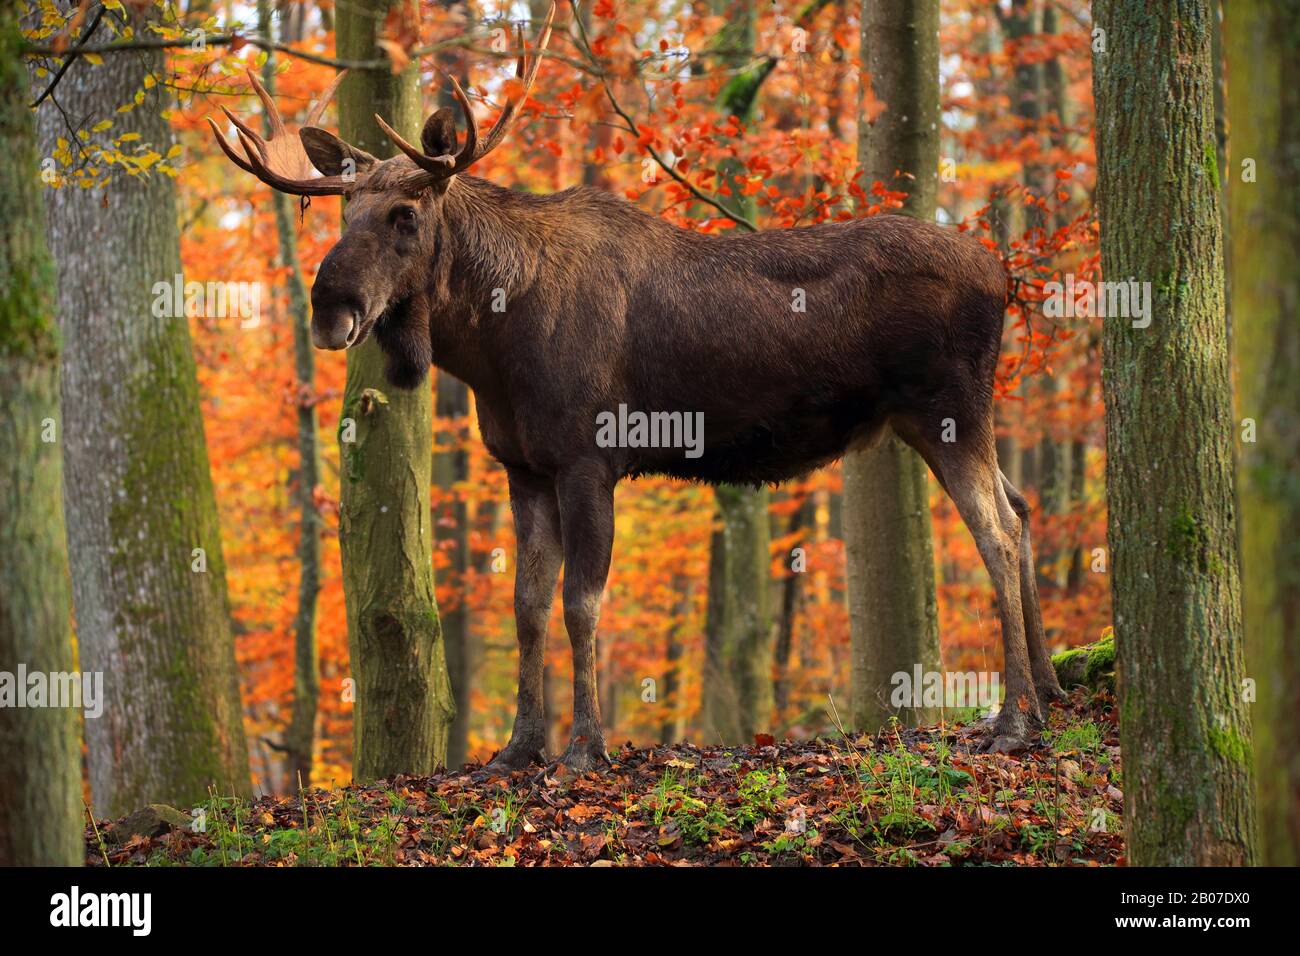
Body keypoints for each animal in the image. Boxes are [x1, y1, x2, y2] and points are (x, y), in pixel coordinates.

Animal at [211, 2, 1065, 773]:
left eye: (405, 215)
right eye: (342, 210)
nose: (331, 306)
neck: (490, 348)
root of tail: (1006, 276)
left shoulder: (591, 458)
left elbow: (579, 604)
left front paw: (583, 748)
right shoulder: (522, 467)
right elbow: (526, 607)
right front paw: (517, 749)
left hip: (947, 409)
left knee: (998, 530)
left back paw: (1014, 720)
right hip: (948, 419)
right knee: (1022, 508)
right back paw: (1051, 693)